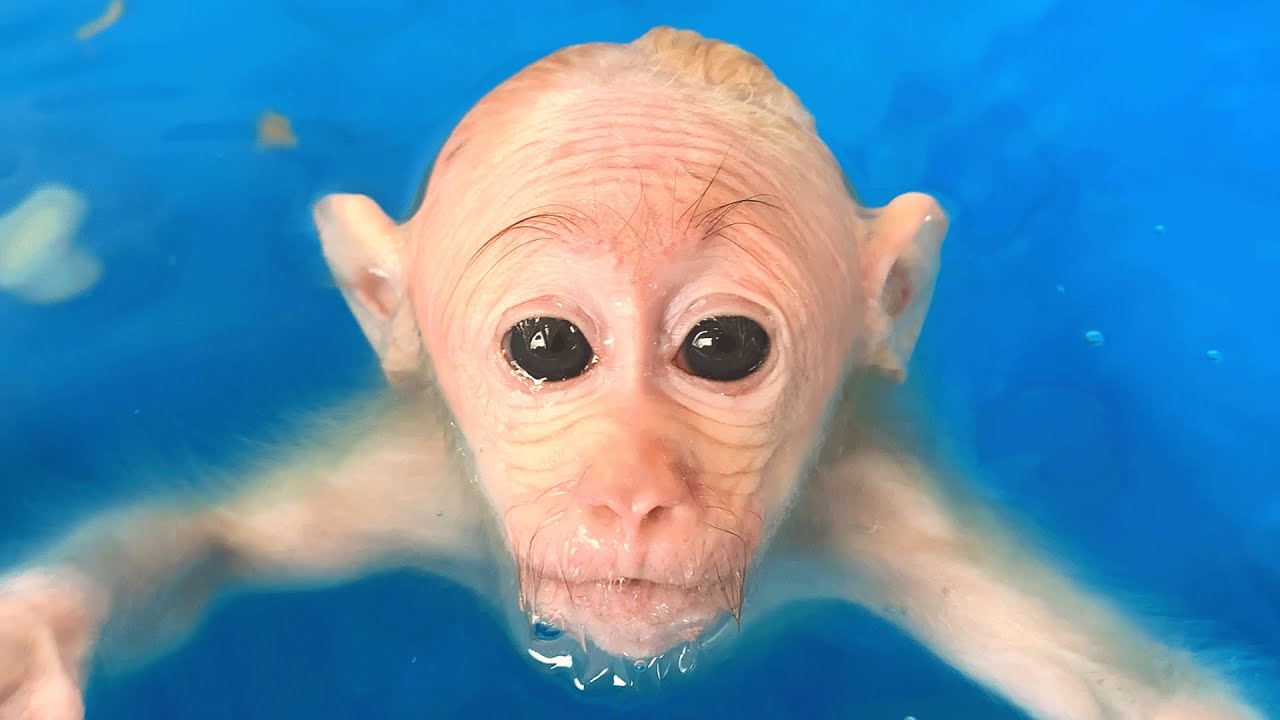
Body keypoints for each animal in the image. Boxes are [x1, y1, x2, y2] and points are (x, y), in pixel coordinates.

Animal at [0, 27, 1265, 720]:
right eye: (547, 347)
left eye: (721, 349)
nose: (630, 493)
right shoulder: (408, 490)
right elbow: (212, 541)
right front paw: (40, 636)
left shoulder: (888, 520)